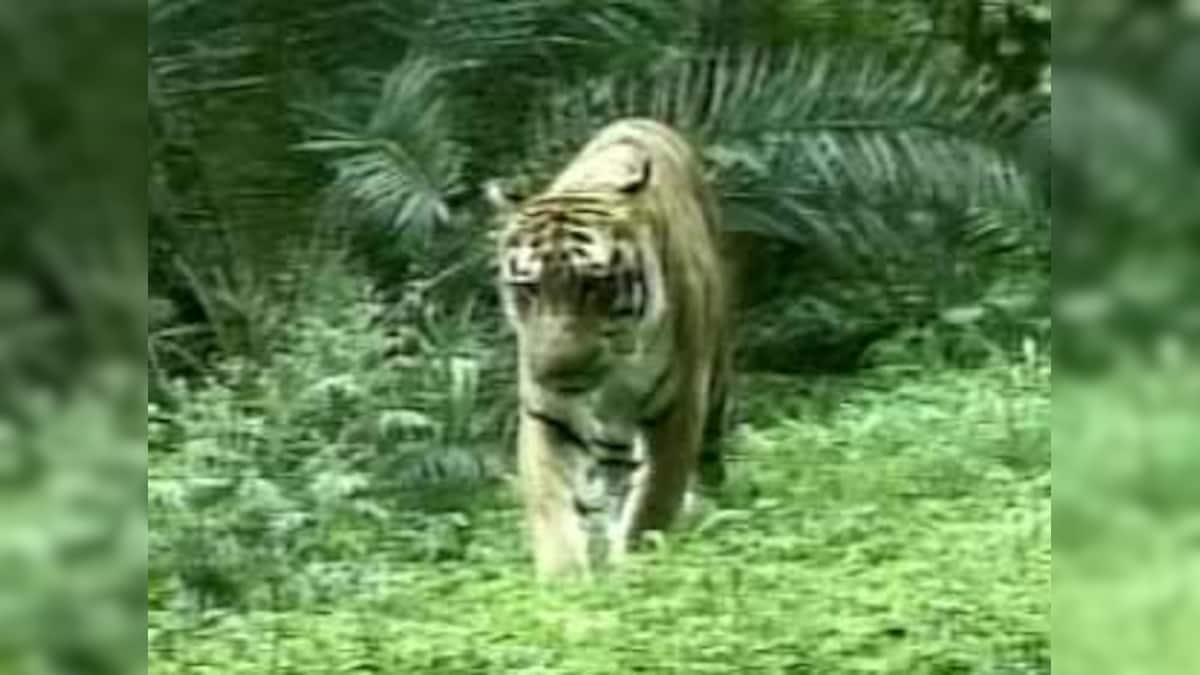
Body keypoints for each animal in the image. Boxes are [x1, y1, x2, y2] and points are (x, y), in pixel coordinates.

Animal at [489, 118, 731, 579]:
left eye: (593, 285)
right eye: (529, 287)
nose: (557, 371)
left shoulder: (677, 408)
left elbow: (653, 503)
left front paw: (634, 571)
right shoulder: (546, 413)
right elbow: (552, 507)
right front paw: (565, 582)